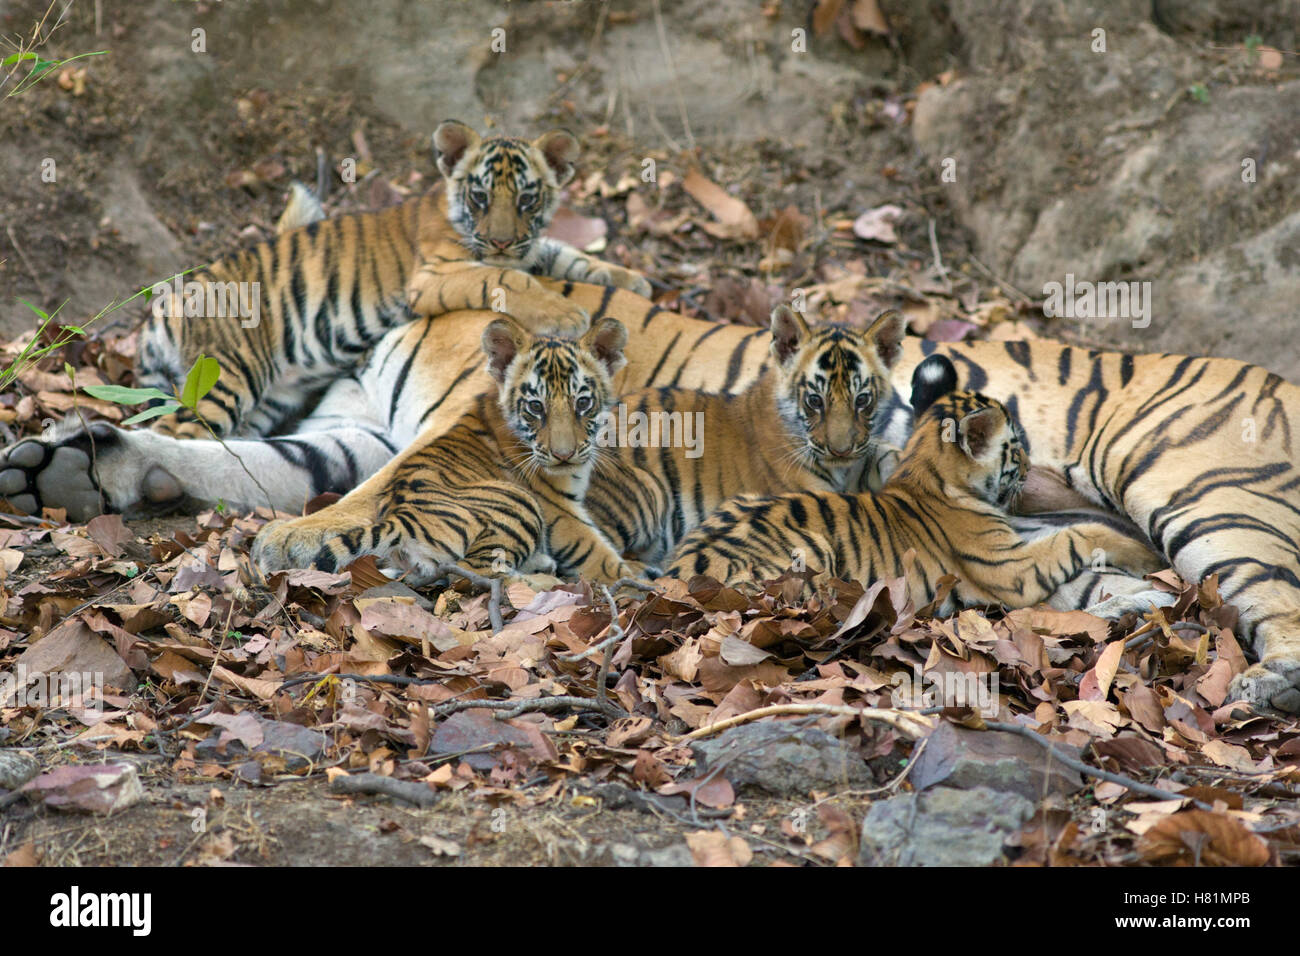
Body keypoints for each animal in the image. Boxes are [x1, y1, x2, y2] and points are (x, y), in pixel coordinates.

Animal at [133, 120, 650, 441]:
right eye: (480, 196)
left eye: (527, 198)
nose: (501, 239)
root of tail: (165, 306)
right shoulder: (435, 274)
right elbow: (504, 277)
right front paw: (565, 313)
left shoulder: (531, 249)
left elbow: (566, 255)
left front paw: (633, 278)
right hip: (229, 371)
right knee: (176, 430)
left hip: (274, 394)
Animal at [251, 315, 641, 584]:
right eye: (535, 407)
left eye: (583, 403)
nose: (564, 454)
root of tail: (401, 517)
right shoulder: (562, 513)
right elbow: (601, 557)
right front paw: (635, 583)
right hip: (519, 503)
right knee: (477, 571)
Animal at [666, 356, 1165, 616]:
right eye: (1017, 447)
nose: (1029, 469)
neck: (924, 470)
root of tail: (673, 577)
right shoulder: (1010, 568)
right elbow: (1078, 535)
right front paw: (1144, 556)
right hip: (811, 555)